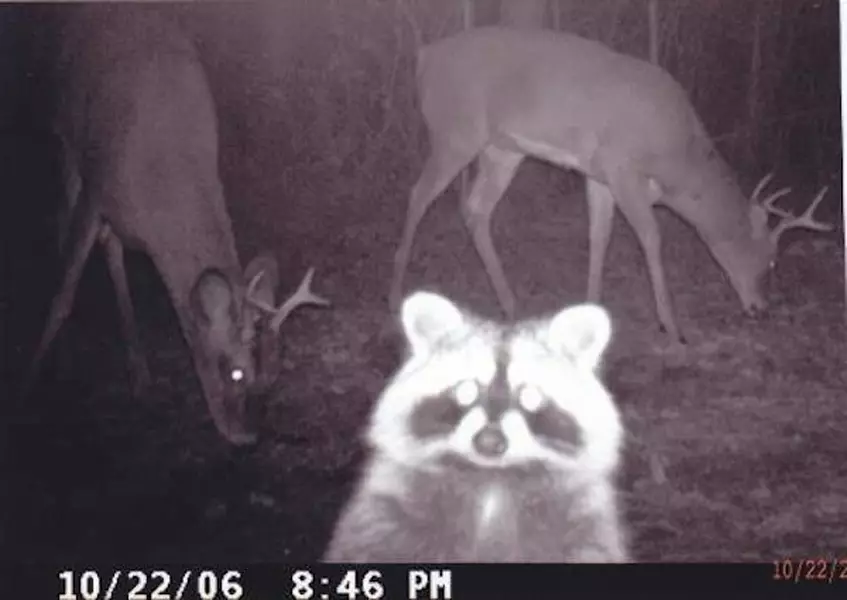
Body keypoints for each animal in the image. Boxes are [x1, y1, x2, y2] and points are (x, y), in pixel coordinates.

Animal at [23, 4, 328, 446]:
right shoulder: (96, 182)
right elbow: (63, 293)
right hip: (65, 136)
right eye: (235, 371)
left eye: (274, 372)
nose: (247, 435)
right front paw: (28, 385)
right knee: (69, 228)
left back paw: (138, 371)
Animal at [324, 290, 628, 564]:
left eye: (529, 396)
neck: (492, 476)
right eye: (466, 390)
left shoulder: (584, 526)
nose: (489, 442)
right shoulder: (387, 513)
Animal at [390, 27, 836, 342]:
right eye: (771, 260)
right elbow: (652, 237)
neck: (677, 159)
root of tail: (424, 57)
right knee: (418, 195)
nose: (761, 308)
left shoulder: (598, 174)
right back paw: (397, 289)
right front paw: (672, 326)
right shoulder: (622, 169)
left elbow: (599, 235)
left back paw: (511, 304)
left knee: (475, 209)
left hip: (502, 149)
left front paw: (590, 305)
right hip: (456, 132)